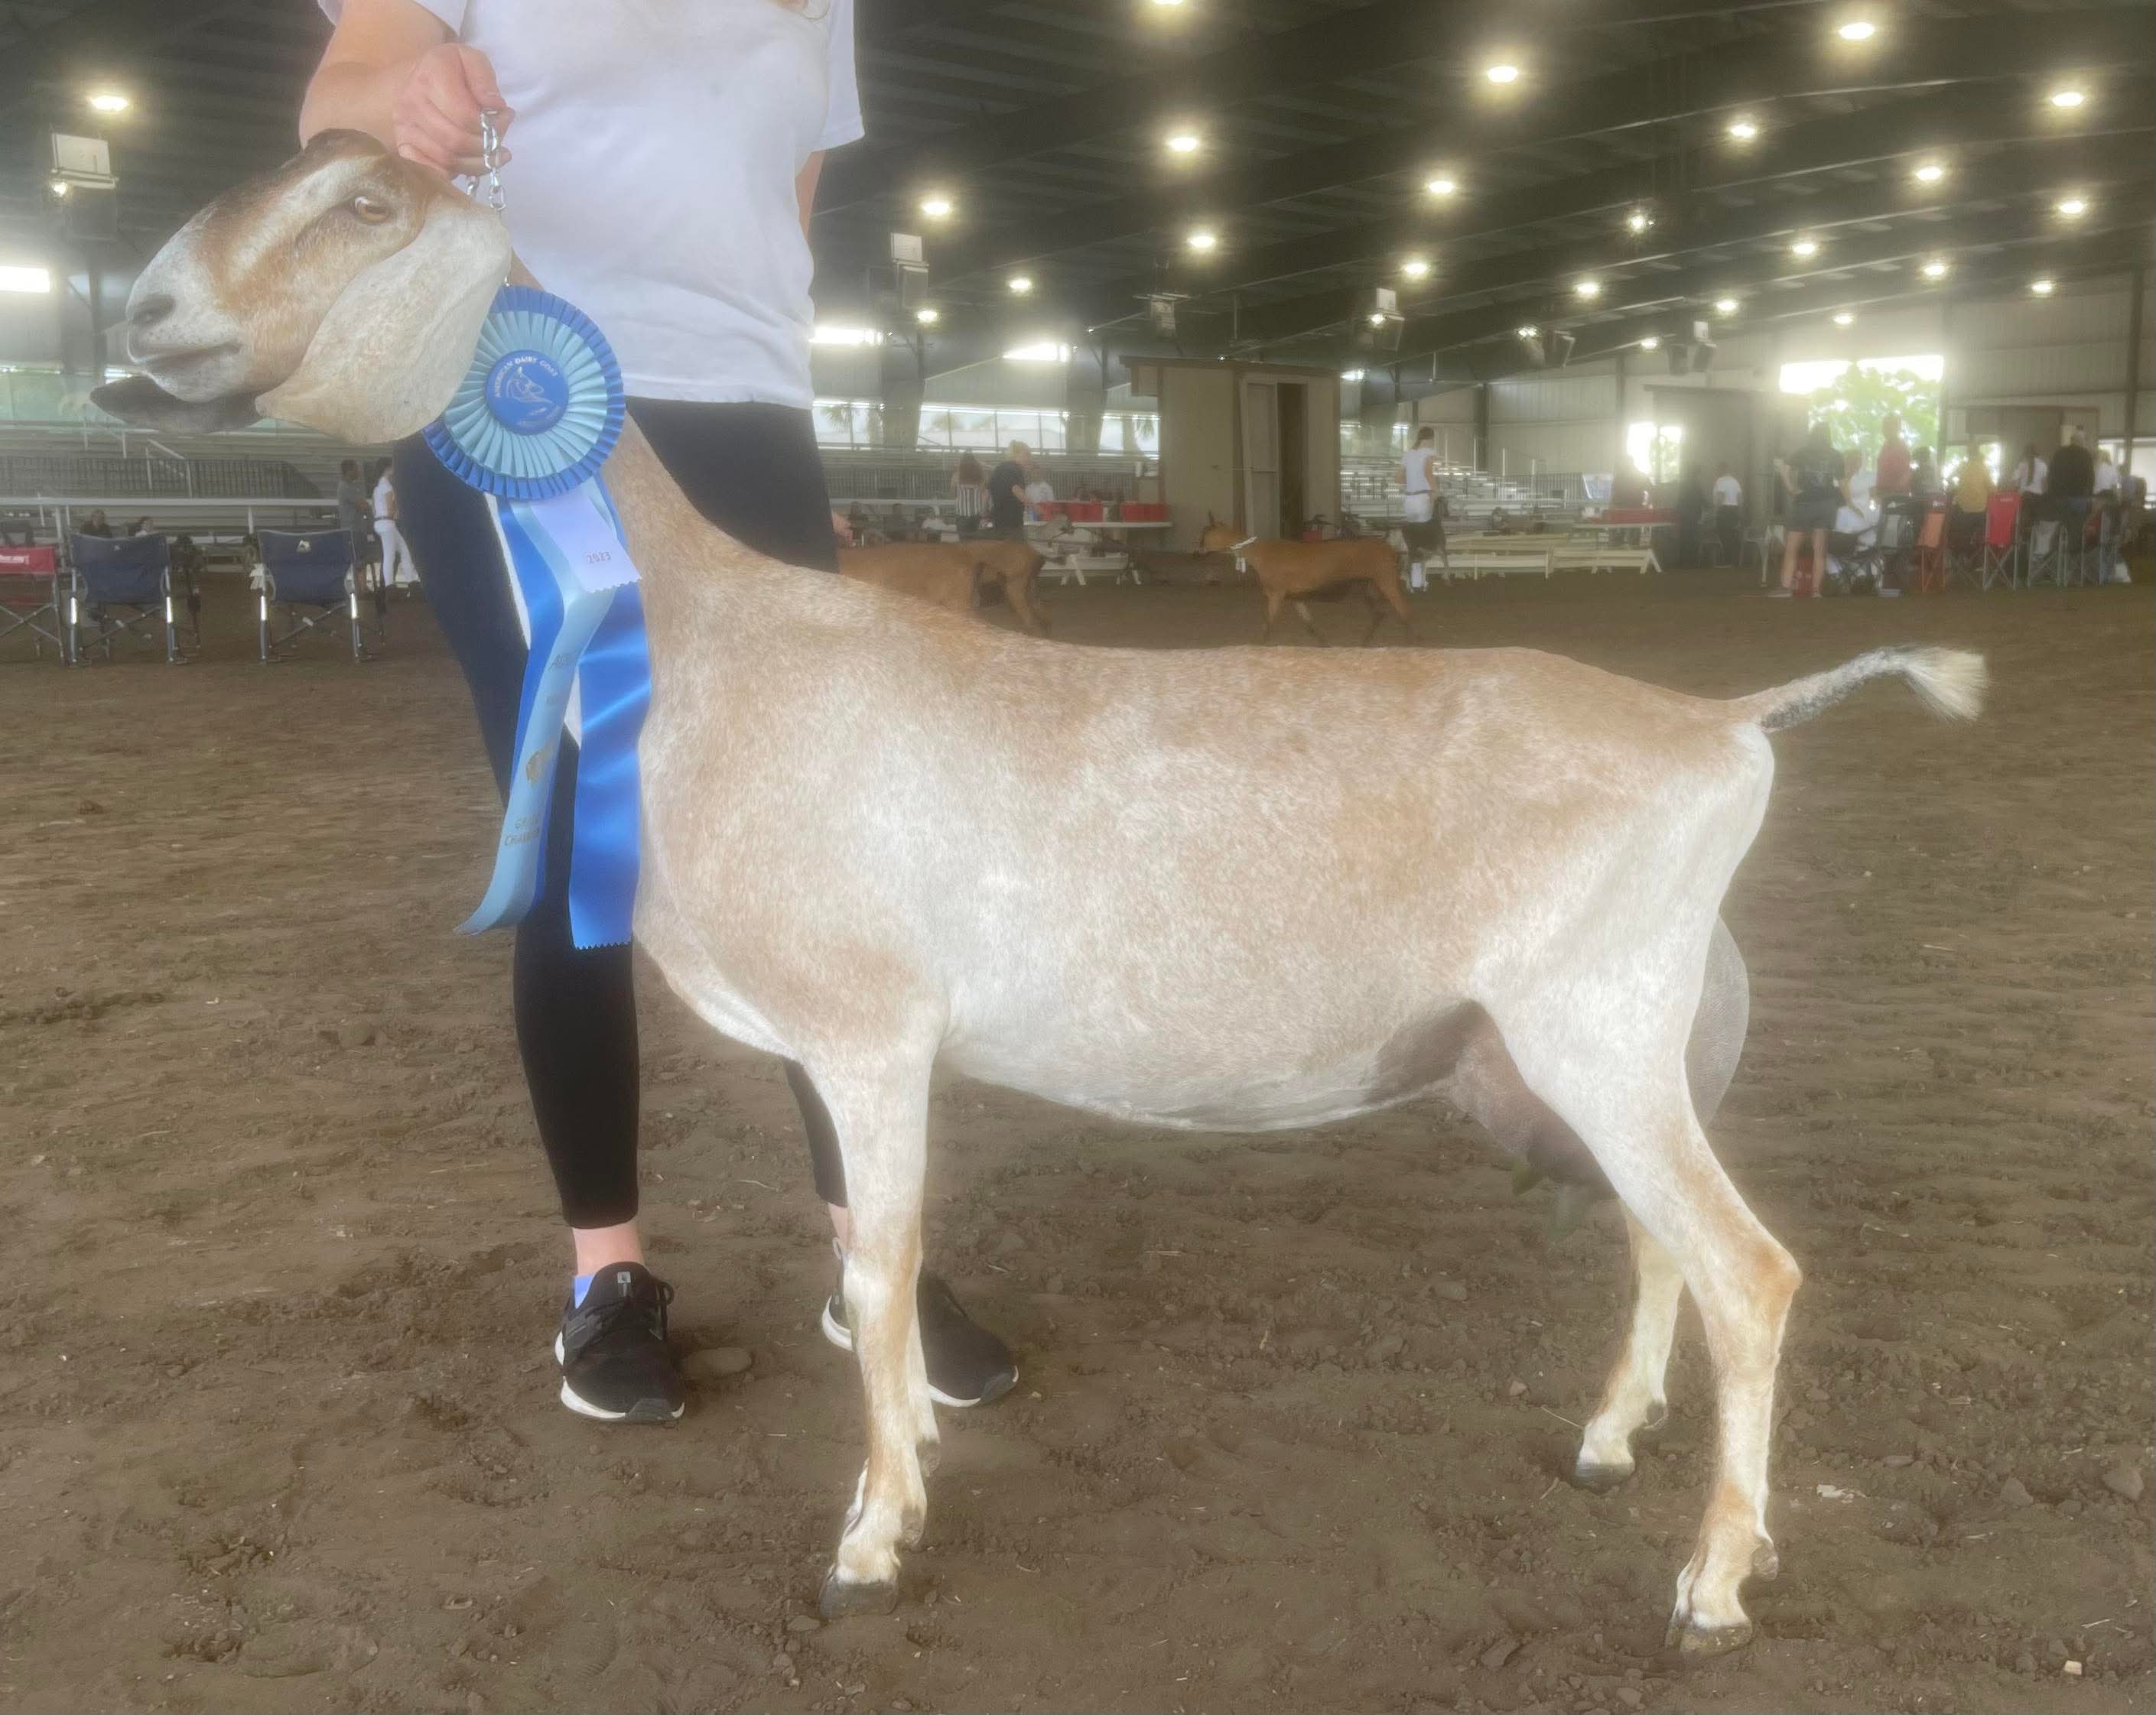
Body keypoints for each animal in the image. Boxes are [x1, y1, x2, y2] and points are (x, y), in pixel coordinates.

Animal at [1198, 518, 1415, 644]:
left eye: (1205, 534)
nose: (1198, 550)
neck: (1259, 553)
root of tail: (1391, 550)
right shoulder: (1296, 596)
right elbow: (1310, 626)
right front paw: (1325, 644)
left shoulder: (1277, 592)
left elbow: (1268, 624)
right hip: (1371, 584)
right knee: (1380, 614)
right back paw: (1366, 641)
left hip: (1386, 579)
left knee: (1405, 611)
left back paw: (1411, 641)